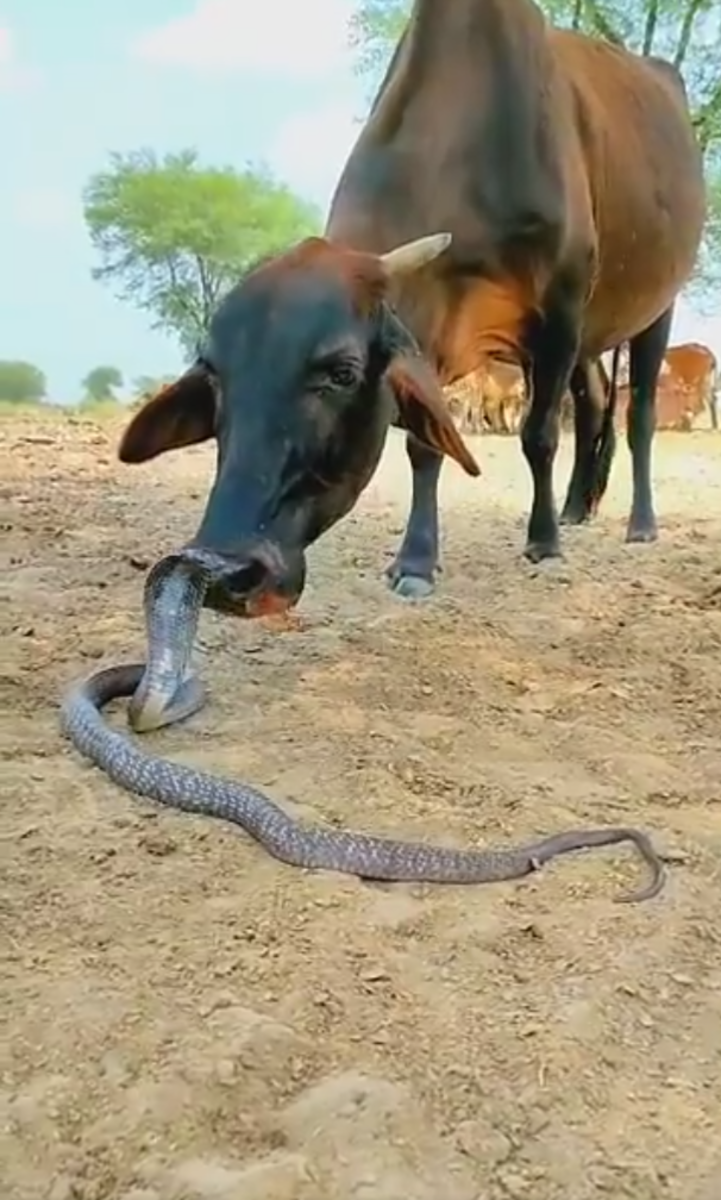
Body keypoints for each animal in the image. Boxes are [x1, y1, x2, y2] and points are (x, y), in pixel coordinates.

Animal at [116, 0, 705, 620]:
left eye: (341, 373)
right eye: (215, 374)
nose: (222, 568)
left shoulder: (561, 310)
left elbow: (539, 434)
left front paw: (542, 541)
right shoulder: (440, 329)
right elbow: (425, 448)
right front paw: (418, 559)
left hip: (655, 310)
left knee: (639, 415)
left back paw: (639, 523)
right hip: (590, 340)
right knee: (593, 402)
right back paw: (575, 507)